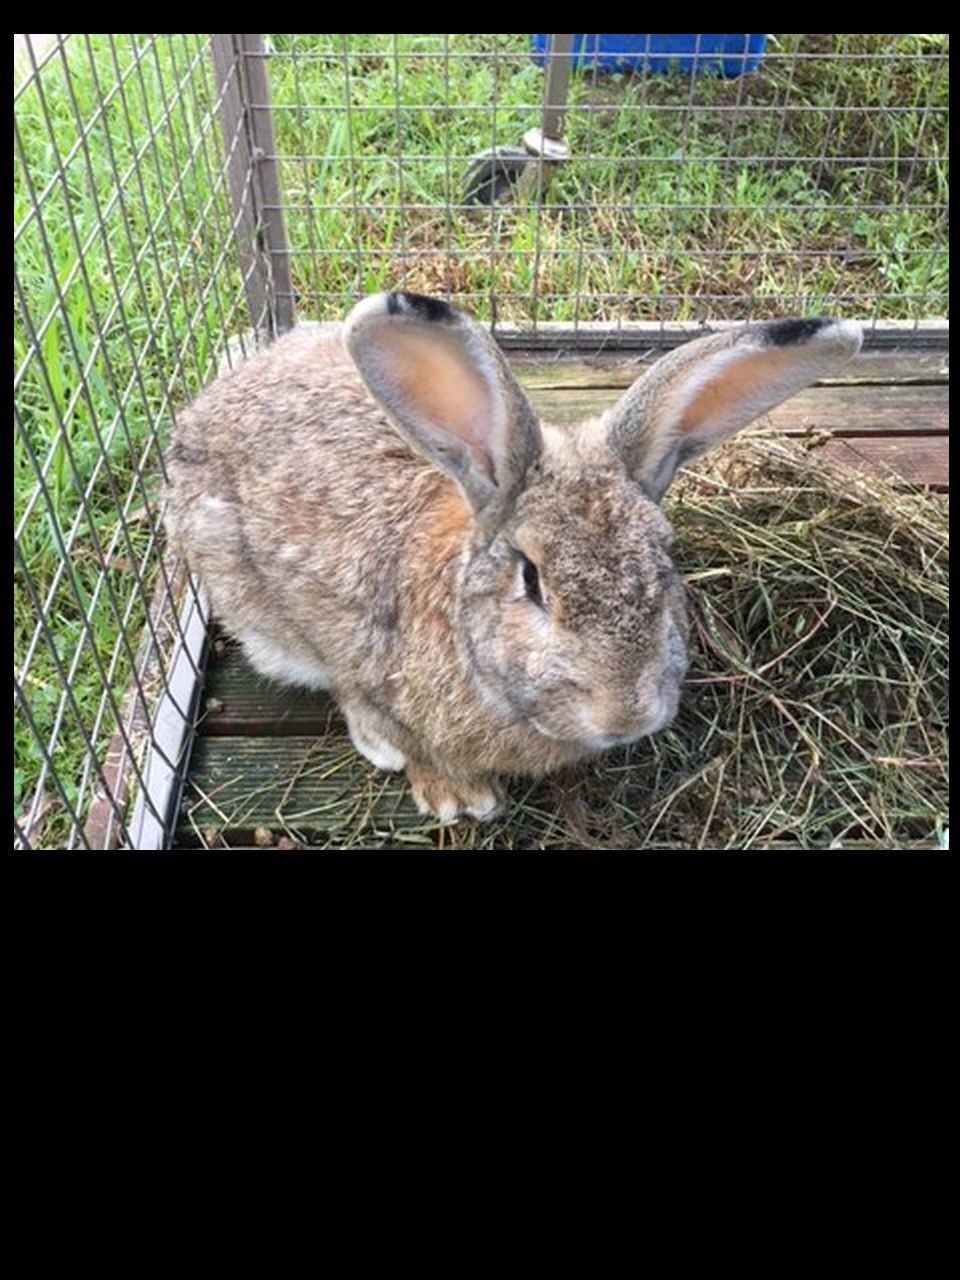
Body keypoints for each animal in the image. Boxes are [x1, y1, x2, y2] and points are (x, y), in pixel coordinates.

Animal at [163, 293, 862, 823]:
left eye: (662, 562)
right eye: (531, 579)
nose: (625, 714)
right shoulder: (356, 663)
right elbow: (371, 709)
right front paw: (454, 796)